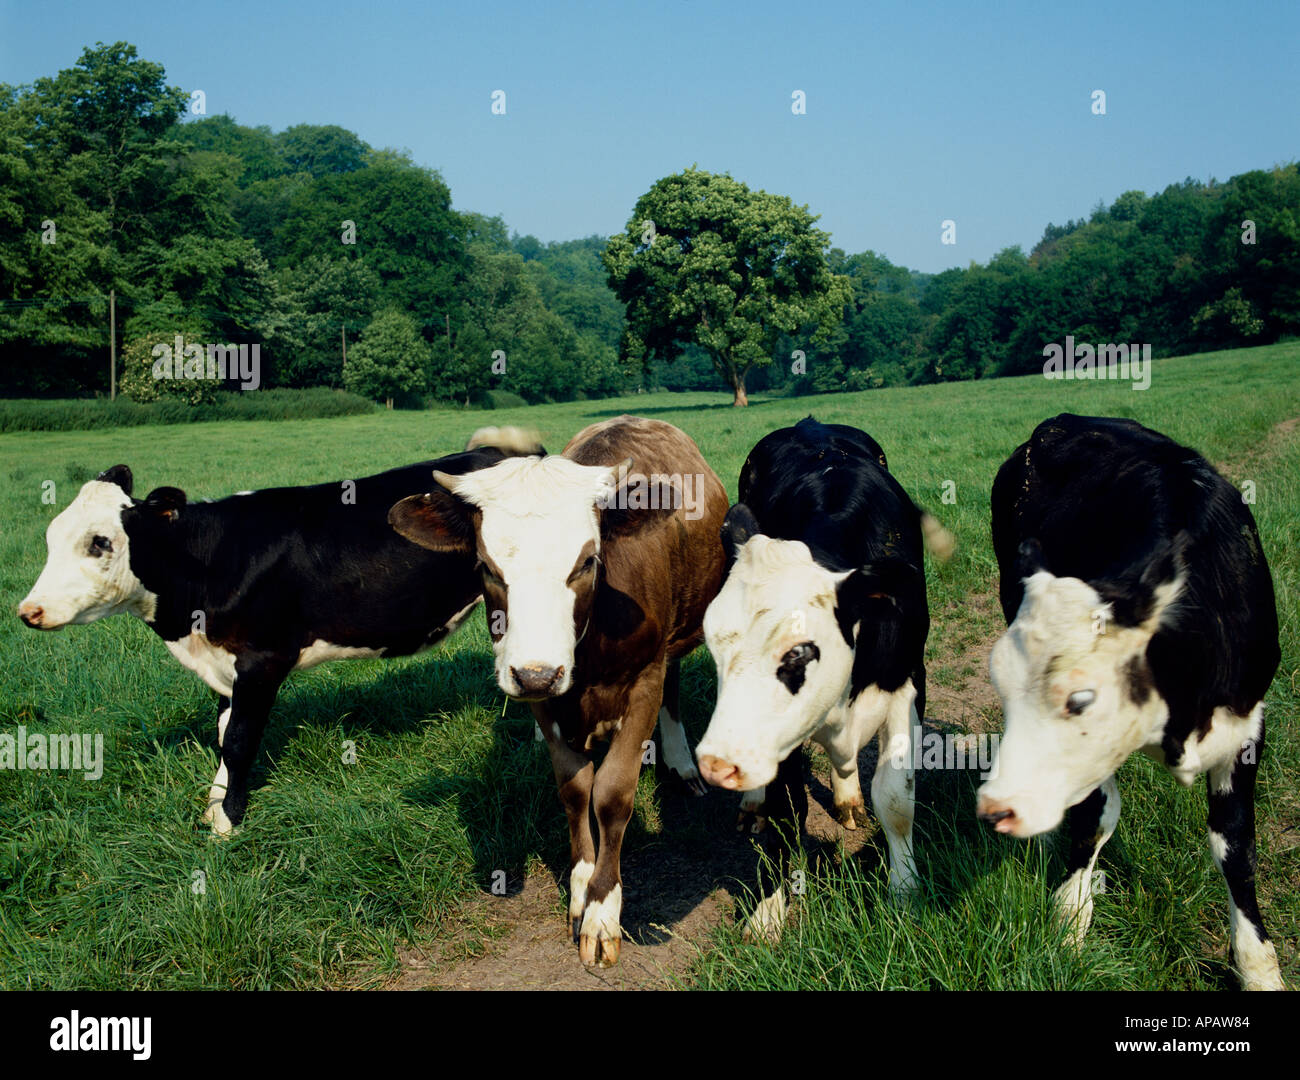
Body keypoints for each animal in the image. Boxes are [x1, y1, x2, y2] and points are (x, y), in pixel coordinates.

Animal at [17, 428, 545, 836]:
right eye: (50, 537)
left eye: (100, 542)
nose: (28, 610)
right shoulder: (224, 662)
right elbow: (225, 731)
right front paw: (215, 803)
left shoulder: (261, 659)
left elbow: (239, 739)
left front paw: (227, 824)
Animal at [389, 415, 728, 967]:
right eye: (486, 567)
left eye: (587, 562)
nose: (535, 674)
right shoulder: (547, 701)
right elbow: (574, 788)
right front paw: (582, 886)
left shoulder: (644, 681)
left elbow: (612, 793)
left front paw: (603, 912)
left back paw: (681, 765)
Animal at [693, 417, 952, 940]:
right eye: (714, 647)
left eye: (797, 651)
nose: (715, 763)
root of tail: (808, 423)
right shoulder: (780, 738)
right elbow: (787, 813)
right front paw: (770, 910)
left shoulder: (909, 684)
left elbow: (896, 799)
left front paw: (905, 892)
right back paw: (752, 802)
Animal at [978, 413, 1284, 991]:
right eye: (1001, 685)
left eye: (1080, 698)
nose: (994, 808)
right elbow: (1094, 816)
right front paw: (1071, 919)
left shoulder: (1248, 722)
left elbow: (1235, 846)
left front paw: (1259, 968)